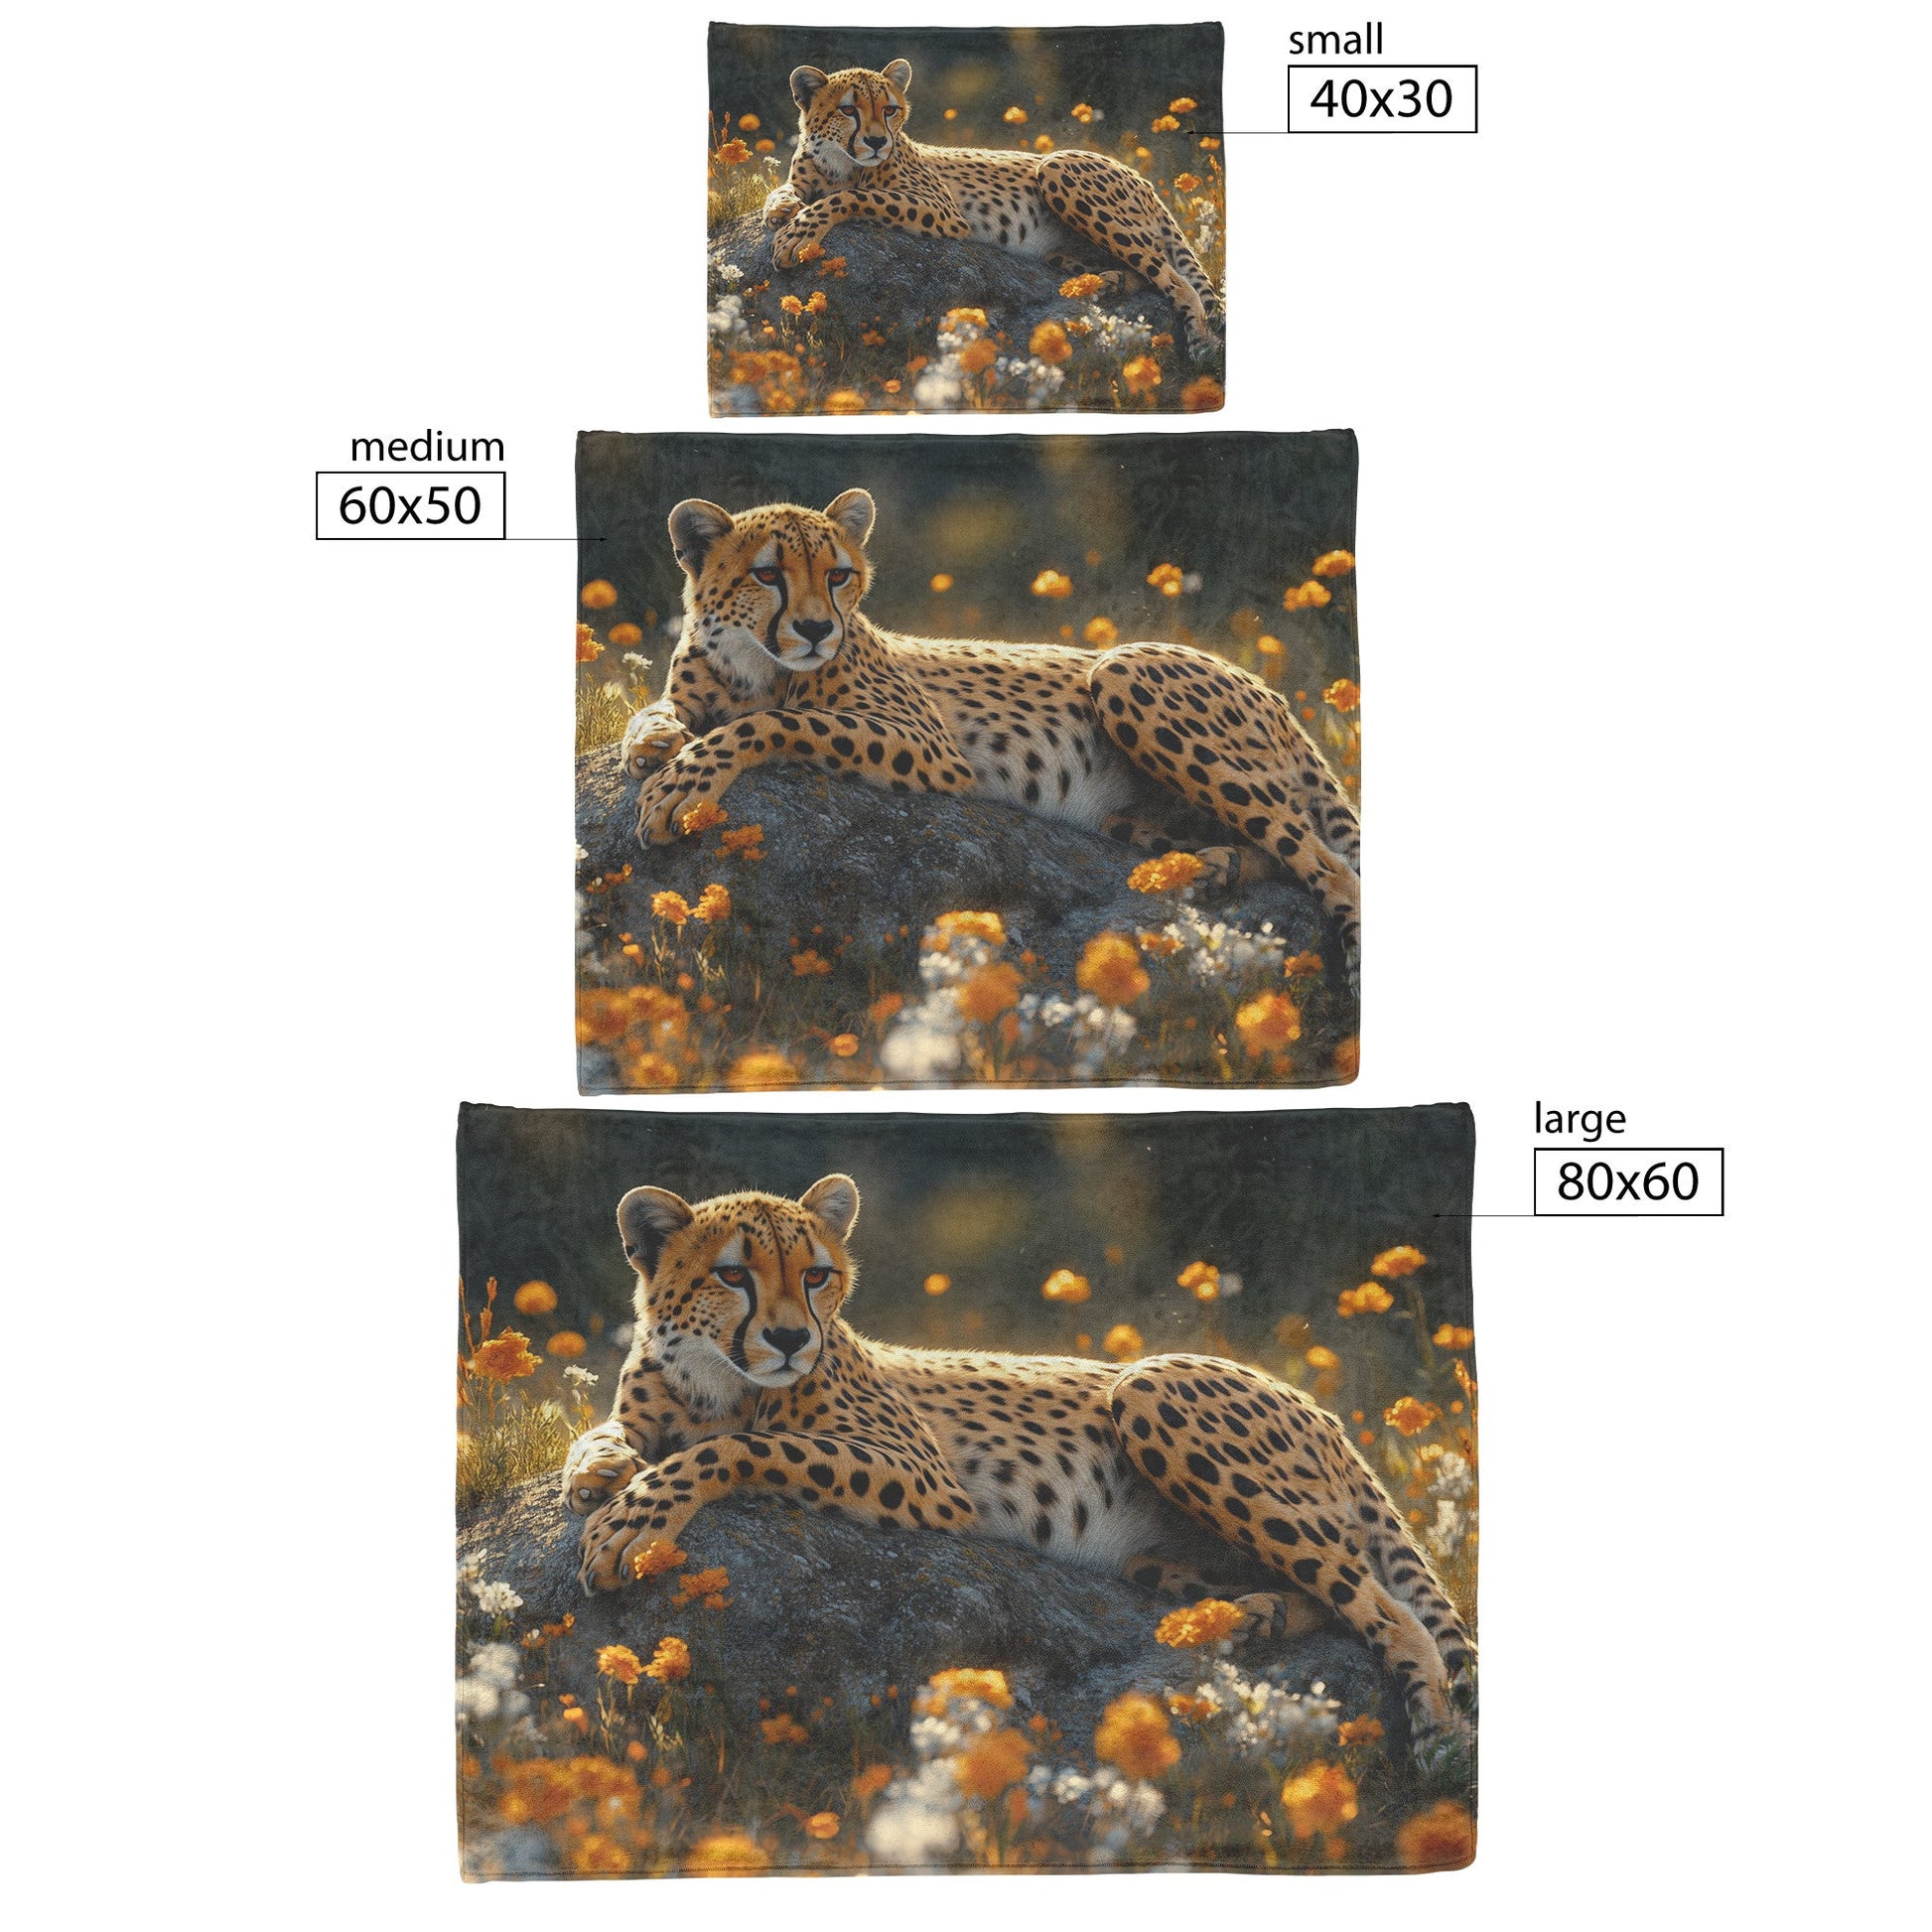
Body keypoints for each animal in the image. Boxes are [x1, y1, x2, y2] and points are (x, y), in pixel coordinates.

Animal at [562, 1177, 1475, 1757]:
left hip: (1150, 1388)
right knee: (1333, 1589)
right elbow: (598, 1434)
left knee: (1392, 1609)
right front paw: (598, 1471)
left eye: (817, 1274)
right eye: (731, 1274)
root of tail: (1327, 1411)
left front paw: (631, 1523)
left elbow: (744, 1448)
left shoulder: (927, 1481)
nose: (790, 1339)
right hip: (1161, 1556)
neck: (711, 1379)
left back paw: (1430, 1724)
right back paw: (1253, 1618)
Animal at [619, 489, 1361, 976]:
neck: (749, 665)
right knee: (1285, 849)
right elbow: (652, 710)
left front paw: (679, 786)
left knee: (1330, 865)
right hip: (1129, 815)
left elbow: (780, 722)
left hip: (1124, 671)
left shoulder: (937, 753)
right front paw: (649, 743)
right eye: (767, 574)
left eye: (839, 575)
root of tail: (1276, 693)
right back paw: (1209, 868)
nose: (815, 629)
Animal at [761, 58, 1224, 357]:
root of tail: (1146, 180)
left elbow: (853, 197)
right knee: (1142, 272)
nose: (877, 142)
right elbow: (780, 191)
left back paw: (1199, 340)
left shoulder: (945, 213)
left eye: (890, 109)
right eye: (847, 109)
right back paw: (1104, 283)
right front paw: (781, 208)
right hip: (1066, 245)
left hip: (1057, 167)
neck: (838, 163)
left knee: (1174, 280)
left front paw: (797, 235)